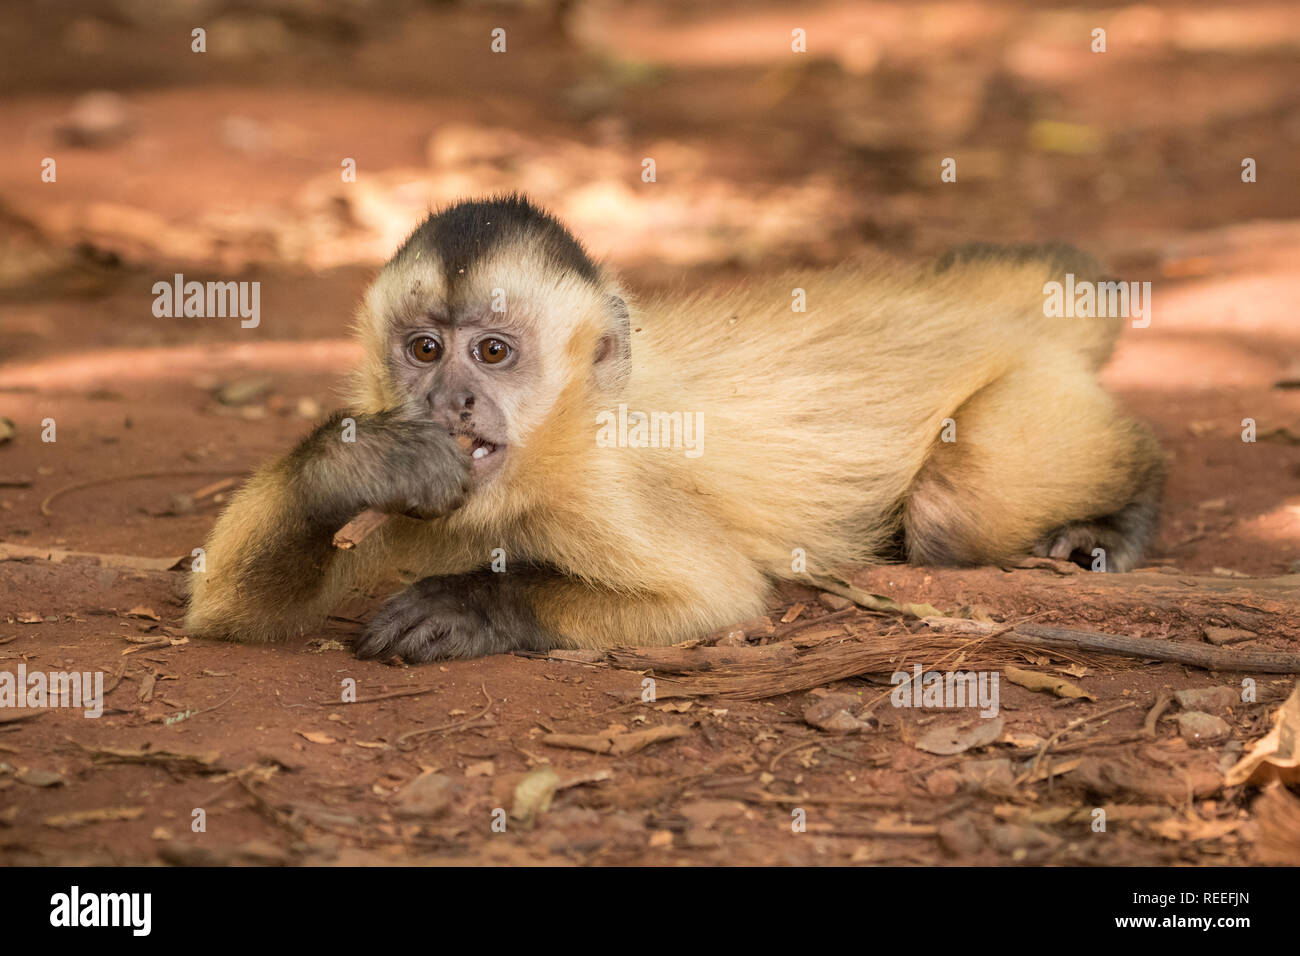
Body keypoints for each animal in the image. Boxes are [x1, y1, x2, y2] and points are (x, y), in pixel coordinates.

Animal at [184, 193, 1164, 662]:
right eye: (425, 349)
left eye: (493, 354)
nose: (449, 402)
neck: (564, 433)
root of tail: (978, 306)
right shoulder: (438, 500)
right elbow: (236, 612)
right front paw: (359, 464)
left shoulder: (599, 490)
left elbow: (715, 600)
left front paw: (473, 608)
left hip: (1037, 389)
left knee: (955, 514)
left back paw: (1132, 505)